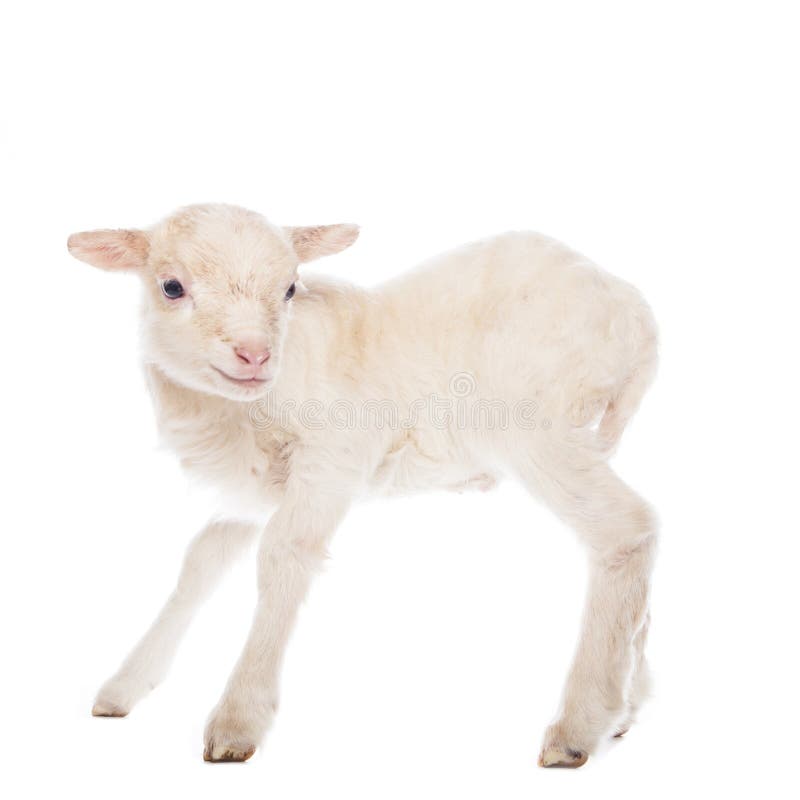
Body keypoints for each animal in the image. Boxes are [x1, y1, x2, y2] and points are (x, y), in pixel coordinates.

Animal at [67, 203, 658, 768]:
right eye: (171, 286)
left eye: (290, 288)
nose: (256, 355)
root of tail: (635, 312)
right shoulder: (257, 489)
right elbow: (201, 561)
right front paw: (124, 686)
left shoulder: (333, 459)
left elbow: (283, 555)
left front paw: (237, 721)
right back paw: (625, 708)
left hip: (535, 427)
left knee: (627, 529)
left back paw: (577, 729)